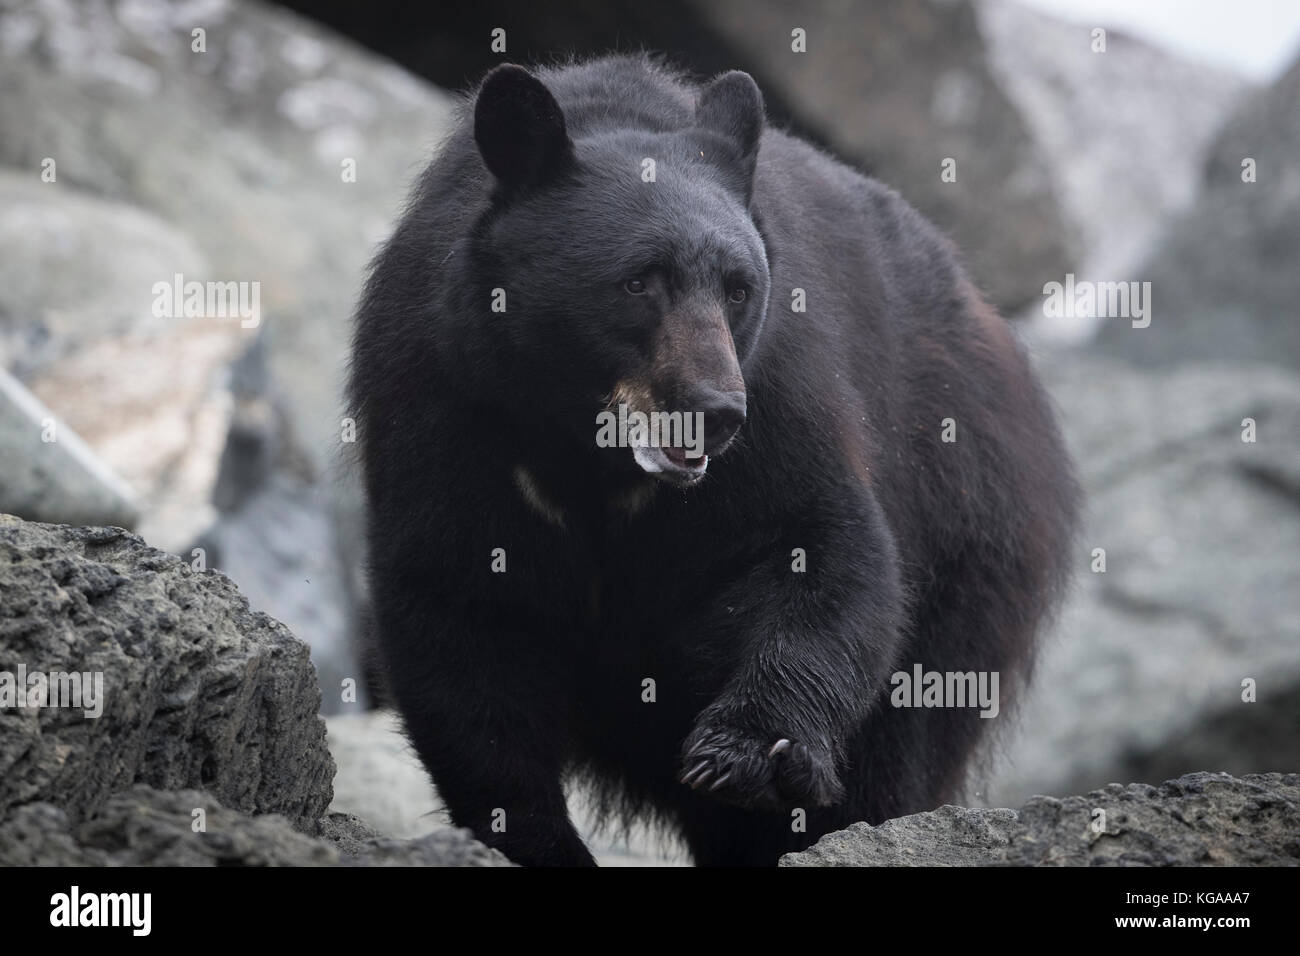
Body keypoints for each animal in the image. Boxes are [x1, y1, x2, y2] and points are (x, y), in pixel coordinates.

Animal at [347, 54, 1079, 867]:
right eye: (638, 281)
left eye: (738, 288)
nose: (716, 412)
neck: (589, 454)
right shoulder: (443, 404)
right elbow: (461, 615)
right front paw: (535, 837)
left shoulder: (781, 387)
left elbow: (820, 546)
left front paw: (754, 753)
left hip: (969, 534)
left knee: (905, 733)